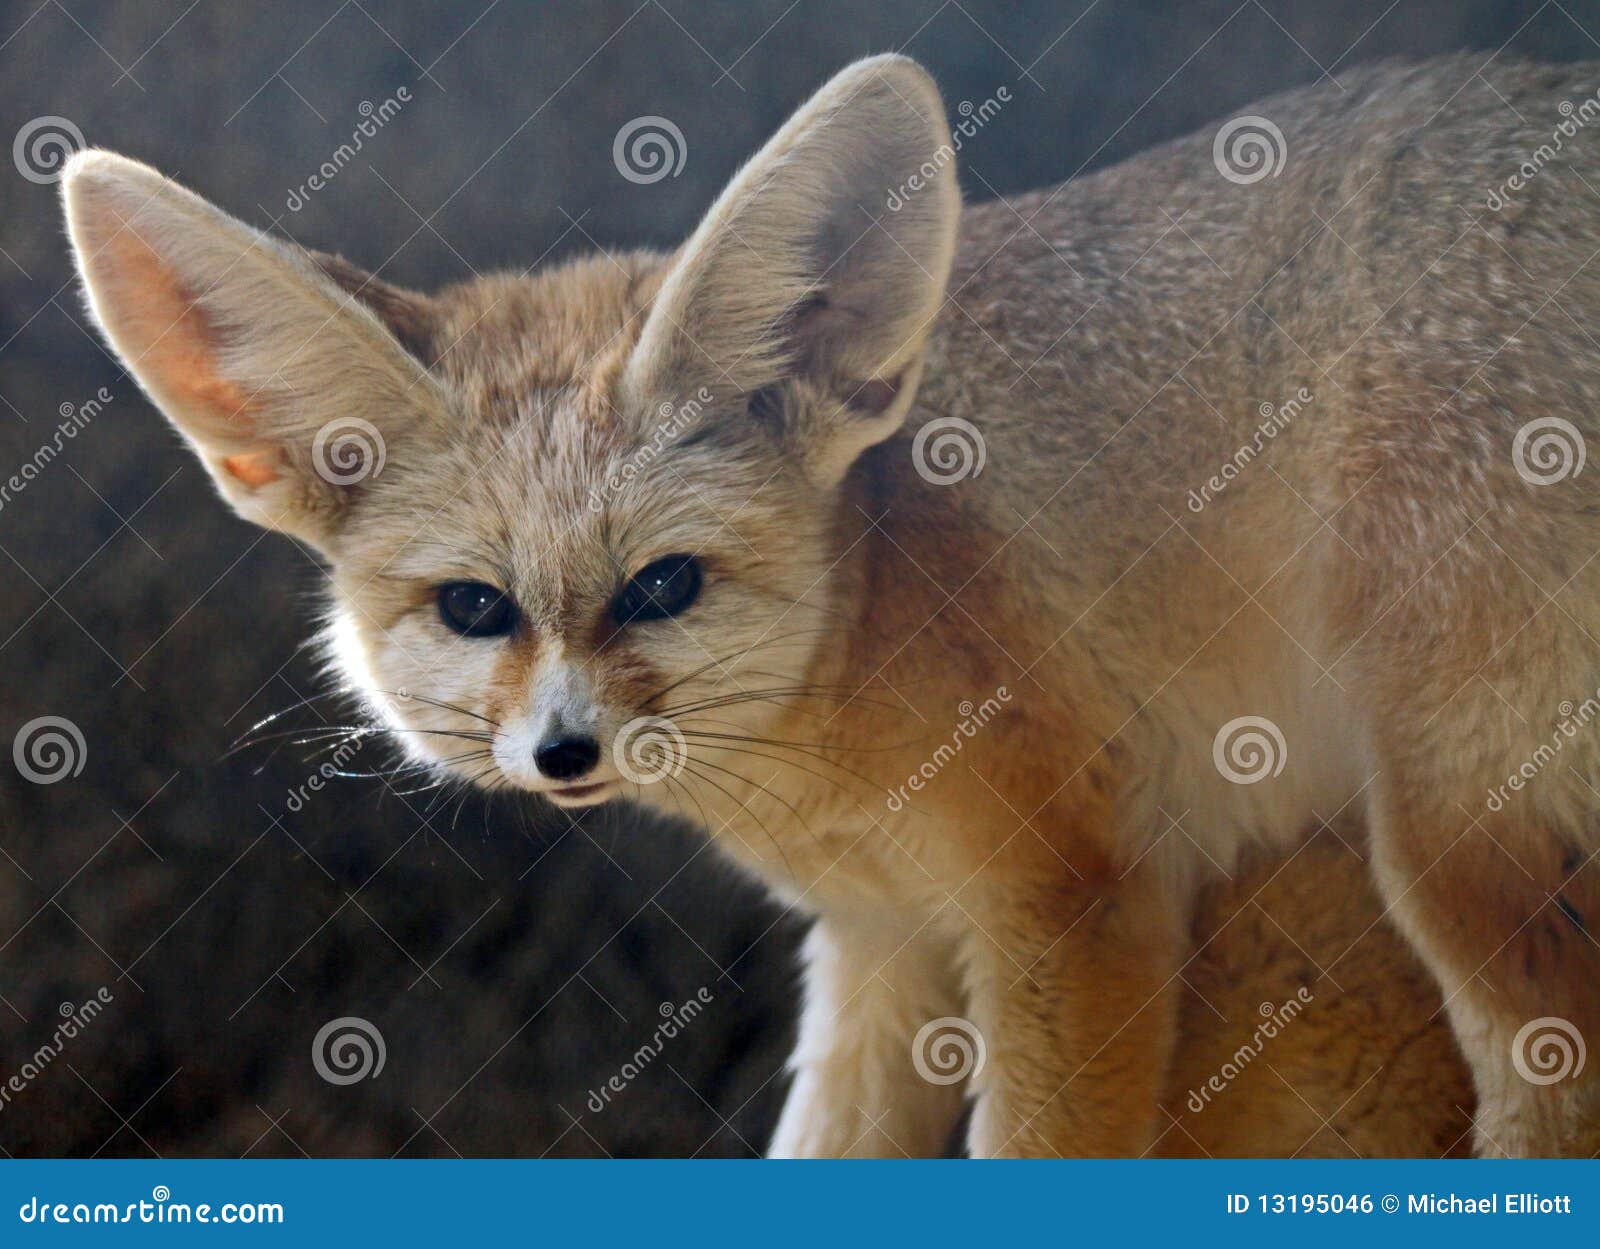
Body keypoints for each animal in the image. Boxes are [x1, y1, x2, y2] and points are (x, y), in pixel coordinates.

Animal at [61, 52, 1600, 1157]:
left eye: (663, 585)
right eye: (474, 608)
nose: (563, 751)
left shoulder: (1077, 896)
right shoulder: (881, 948)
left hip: (1453, 851)